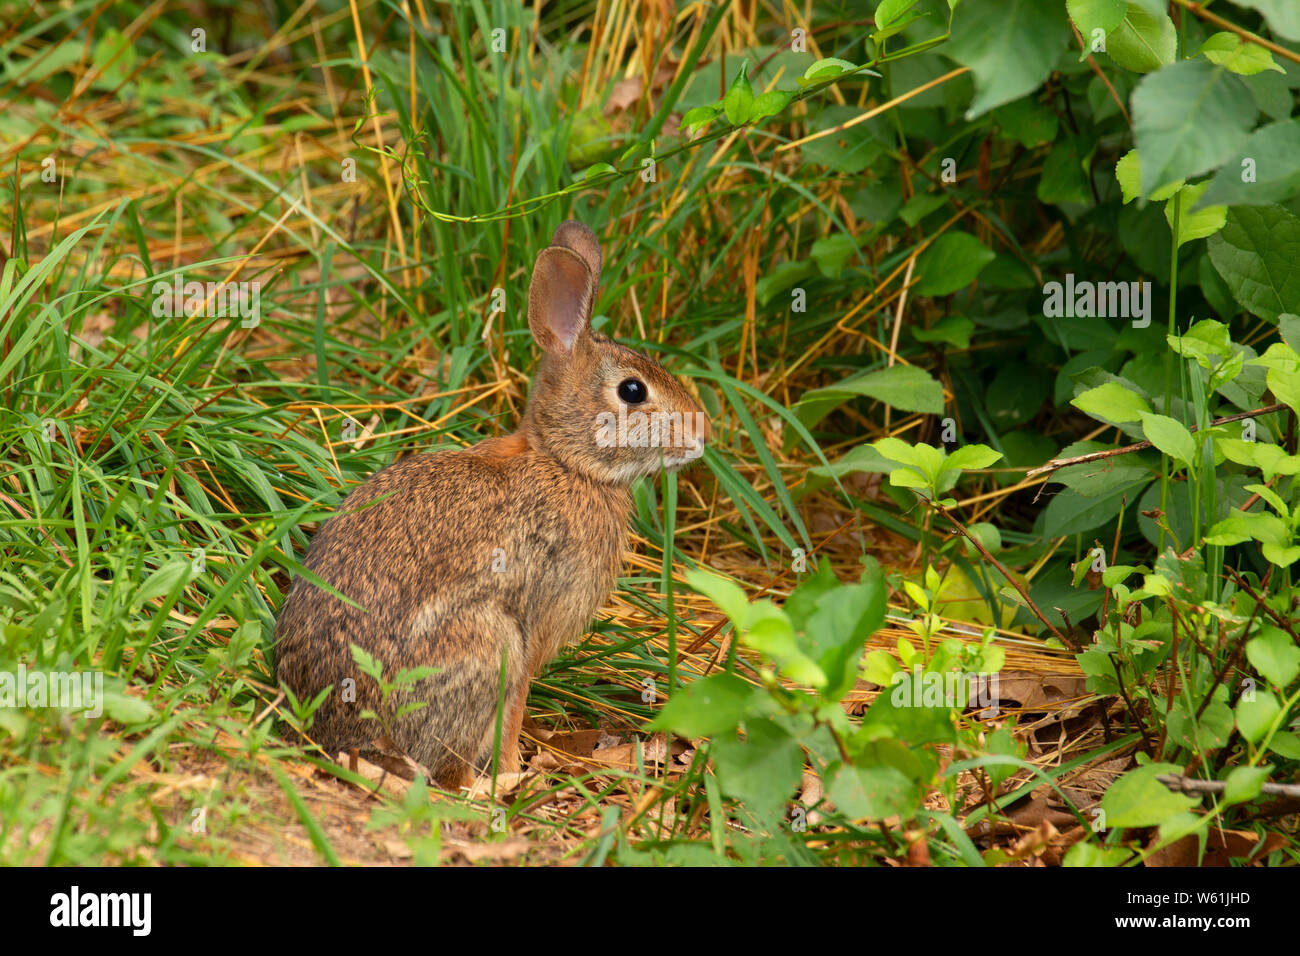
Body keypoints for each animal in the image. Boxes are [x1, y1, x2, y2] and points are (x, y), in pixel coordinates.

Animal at [274, 220, 711, 789]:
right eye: (632, 391)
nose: (701, 436)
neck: (566, 463)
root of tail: (335, 728)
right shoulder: (534, 628)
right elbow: (516, 707)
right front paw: (514, 772)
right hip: (486, 643)